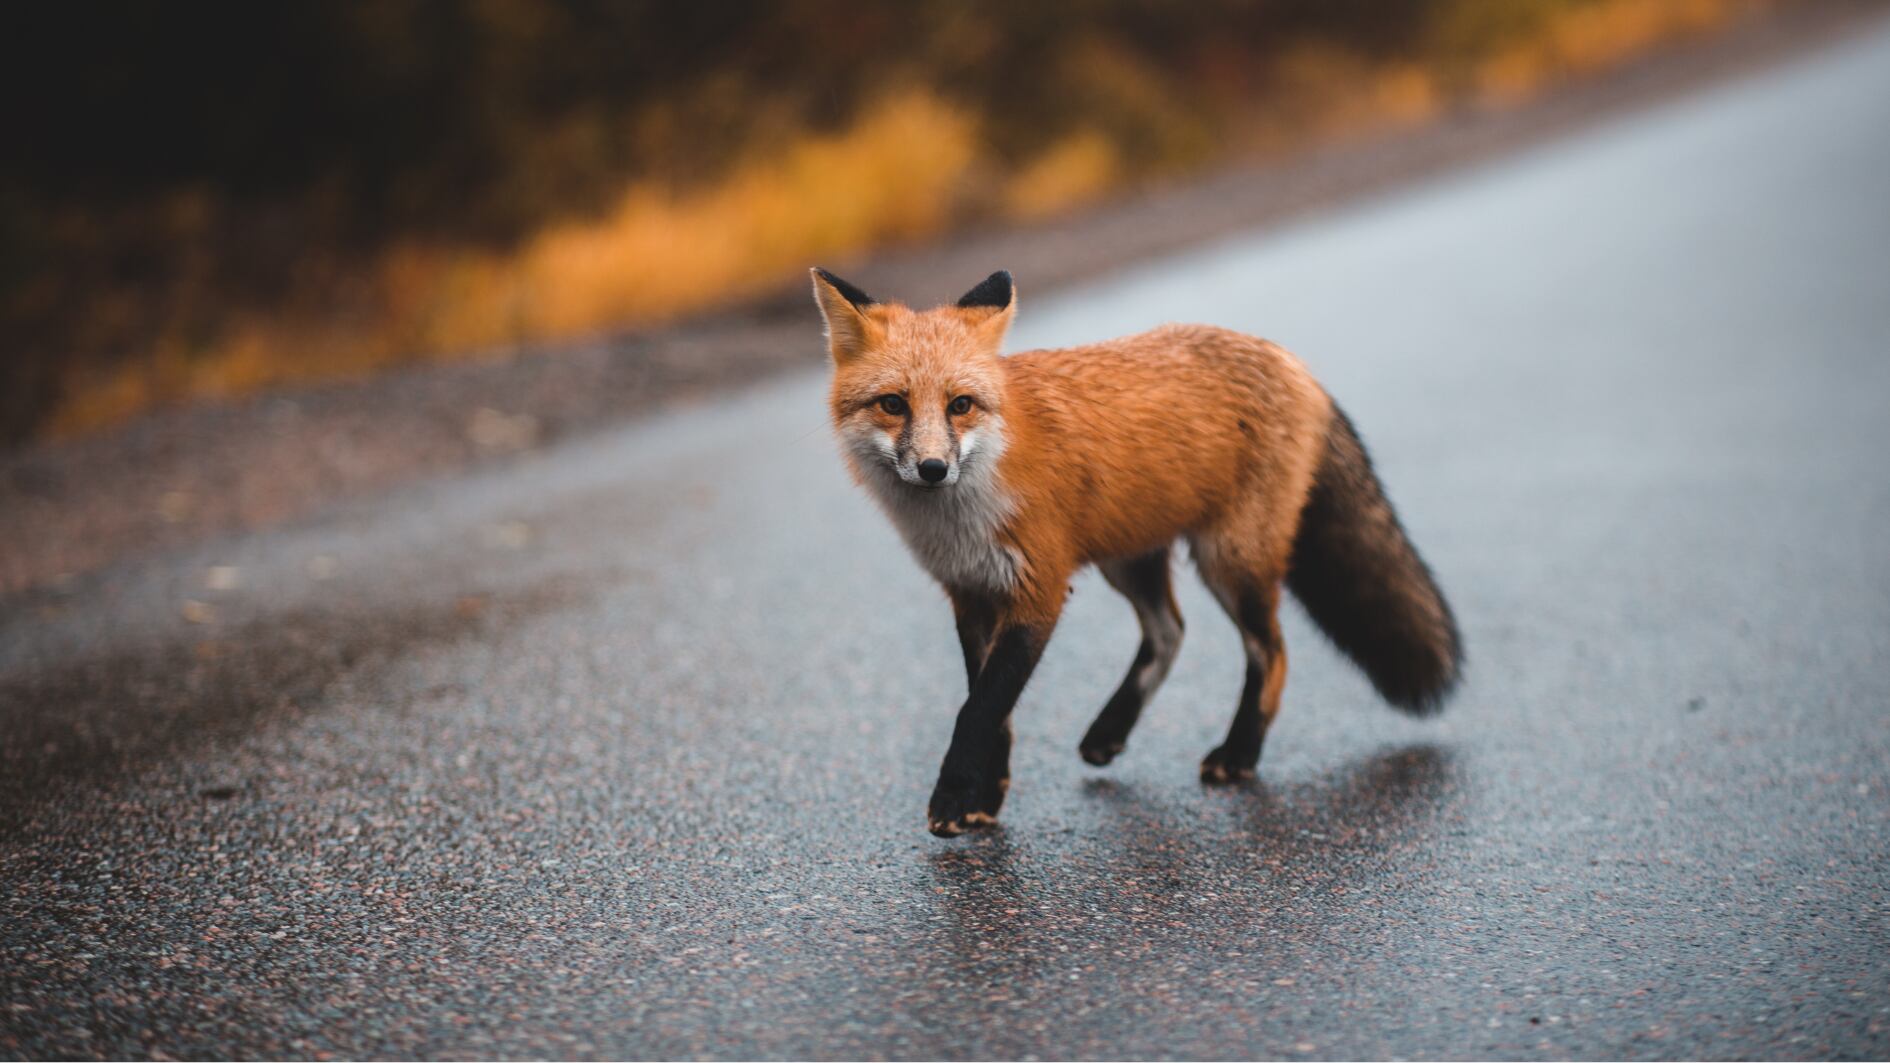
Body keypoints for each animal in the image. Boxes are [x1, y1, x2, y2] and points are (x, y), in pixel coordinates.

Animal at [812, 267, 1462, 836]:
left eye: (960, 405)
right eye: (893, 404)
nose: (932, 468)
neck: (965, 513)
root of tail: (1290, 361)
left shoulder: (1039, 591)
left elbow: (979, 710)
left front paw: (952, 798)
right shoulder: (972, 594)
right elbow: (993, 709)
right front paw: (985, 796)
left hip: (1229, 561)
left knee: (1271, 652)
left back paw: (1239, 753)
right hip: (1129, 560)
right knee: (1170, 632)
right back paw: (1111, 730)